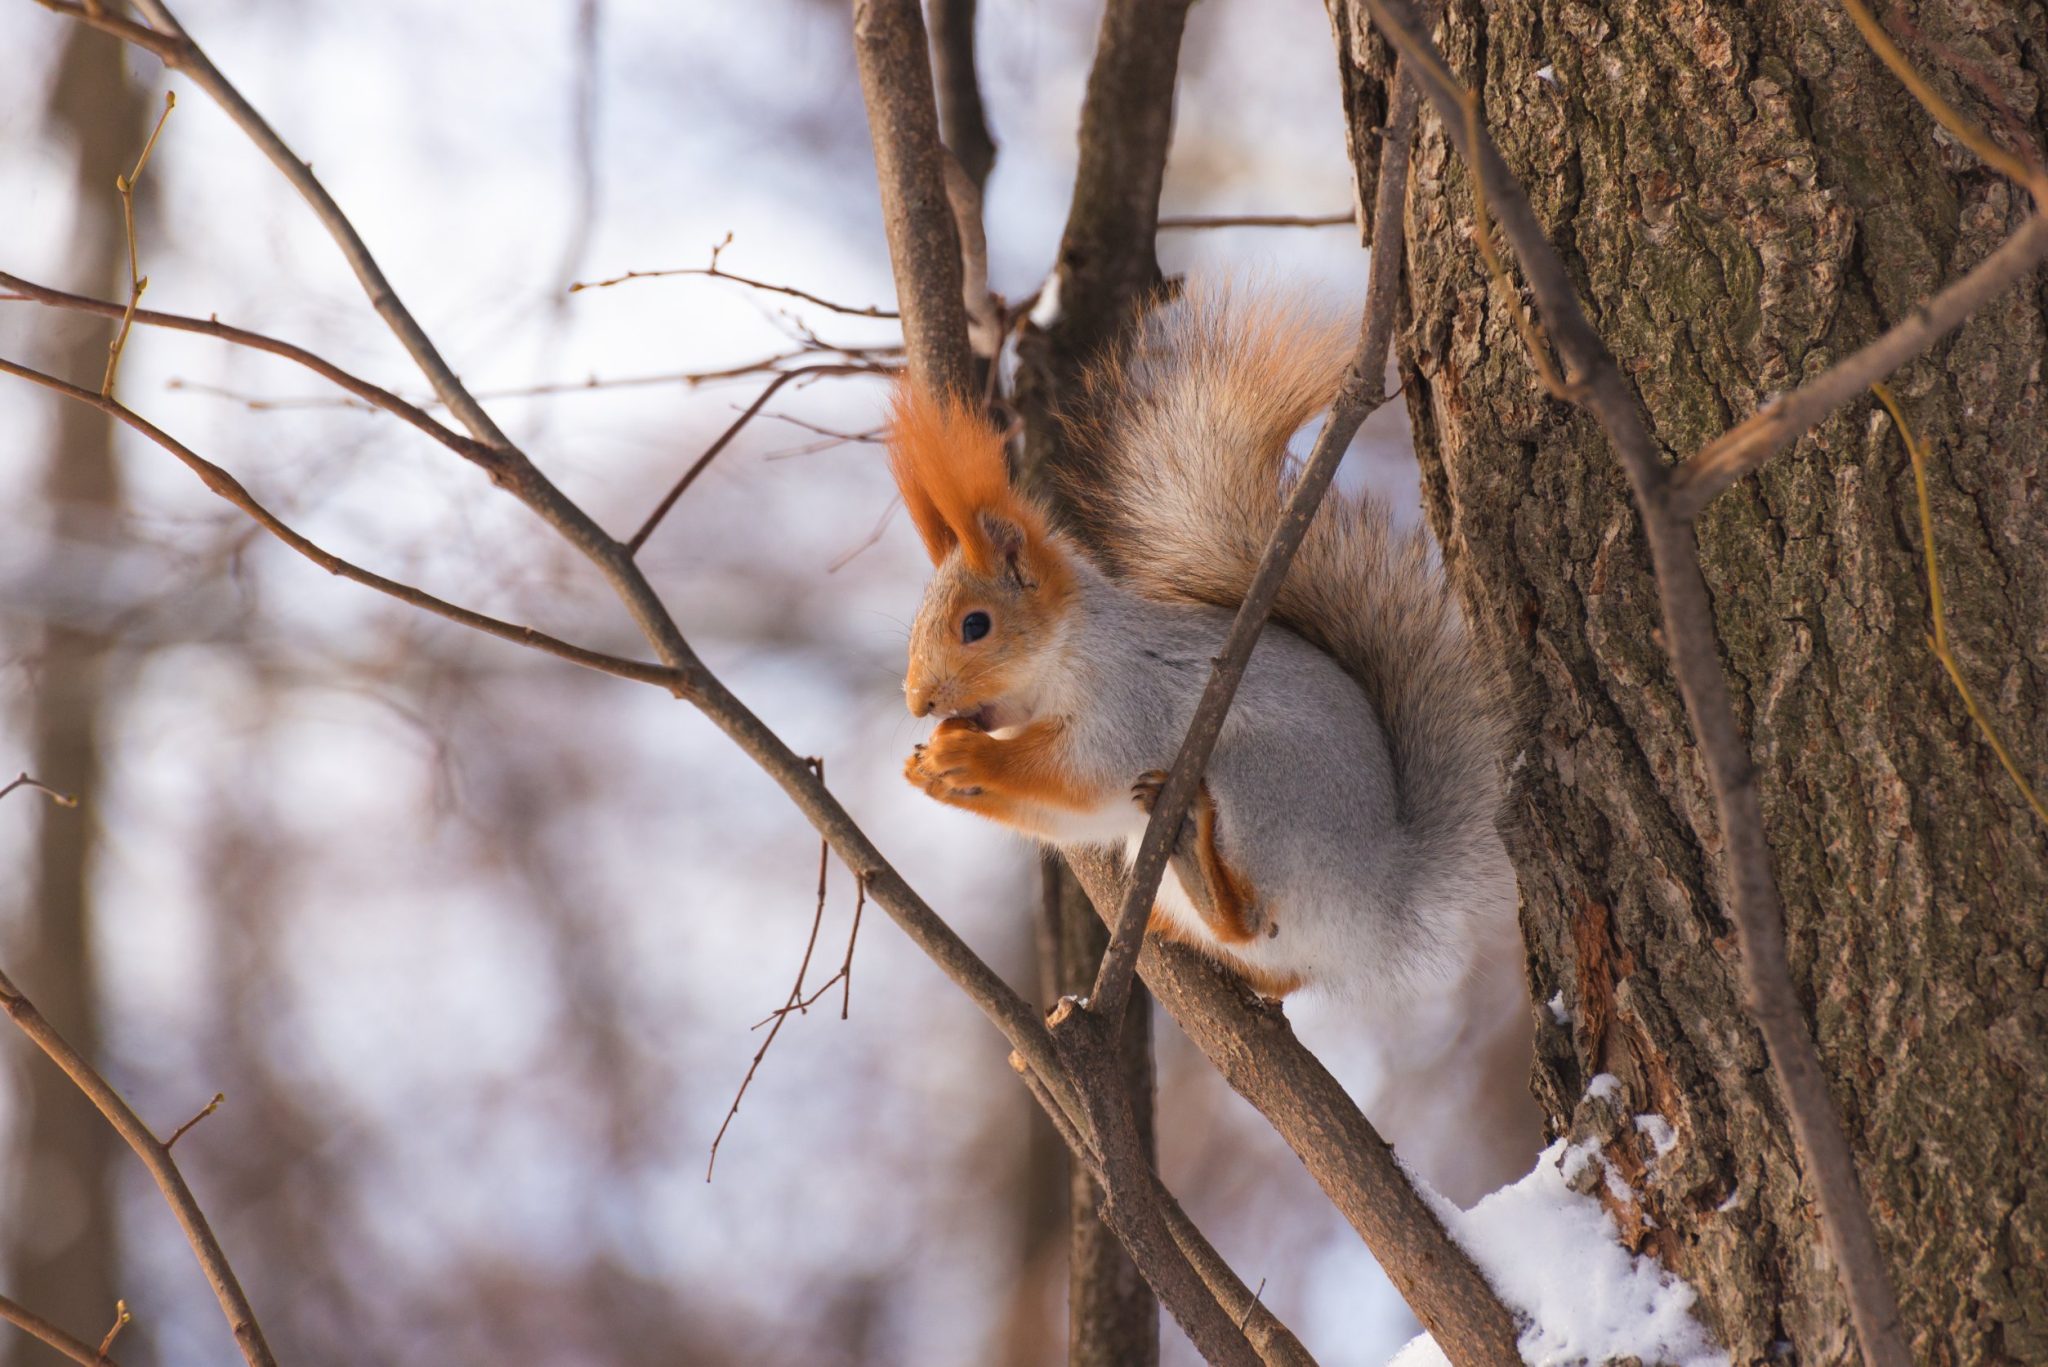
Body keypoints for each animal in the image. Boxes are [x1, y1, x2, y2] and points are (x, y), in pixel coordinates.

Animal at [888, 287, 1515, 1002]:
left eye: (975, 625)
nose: (918, 703)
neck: (1068, 652)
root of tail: (1382, 898)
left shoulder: (1128, 701)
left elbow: (1078, 772)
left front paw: (966, 756)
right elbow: (1069, 818)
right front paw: (929, 771)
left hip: (1261, 789)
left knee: (1250, 915)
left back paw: (1199, 858)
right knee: (1274, 963)